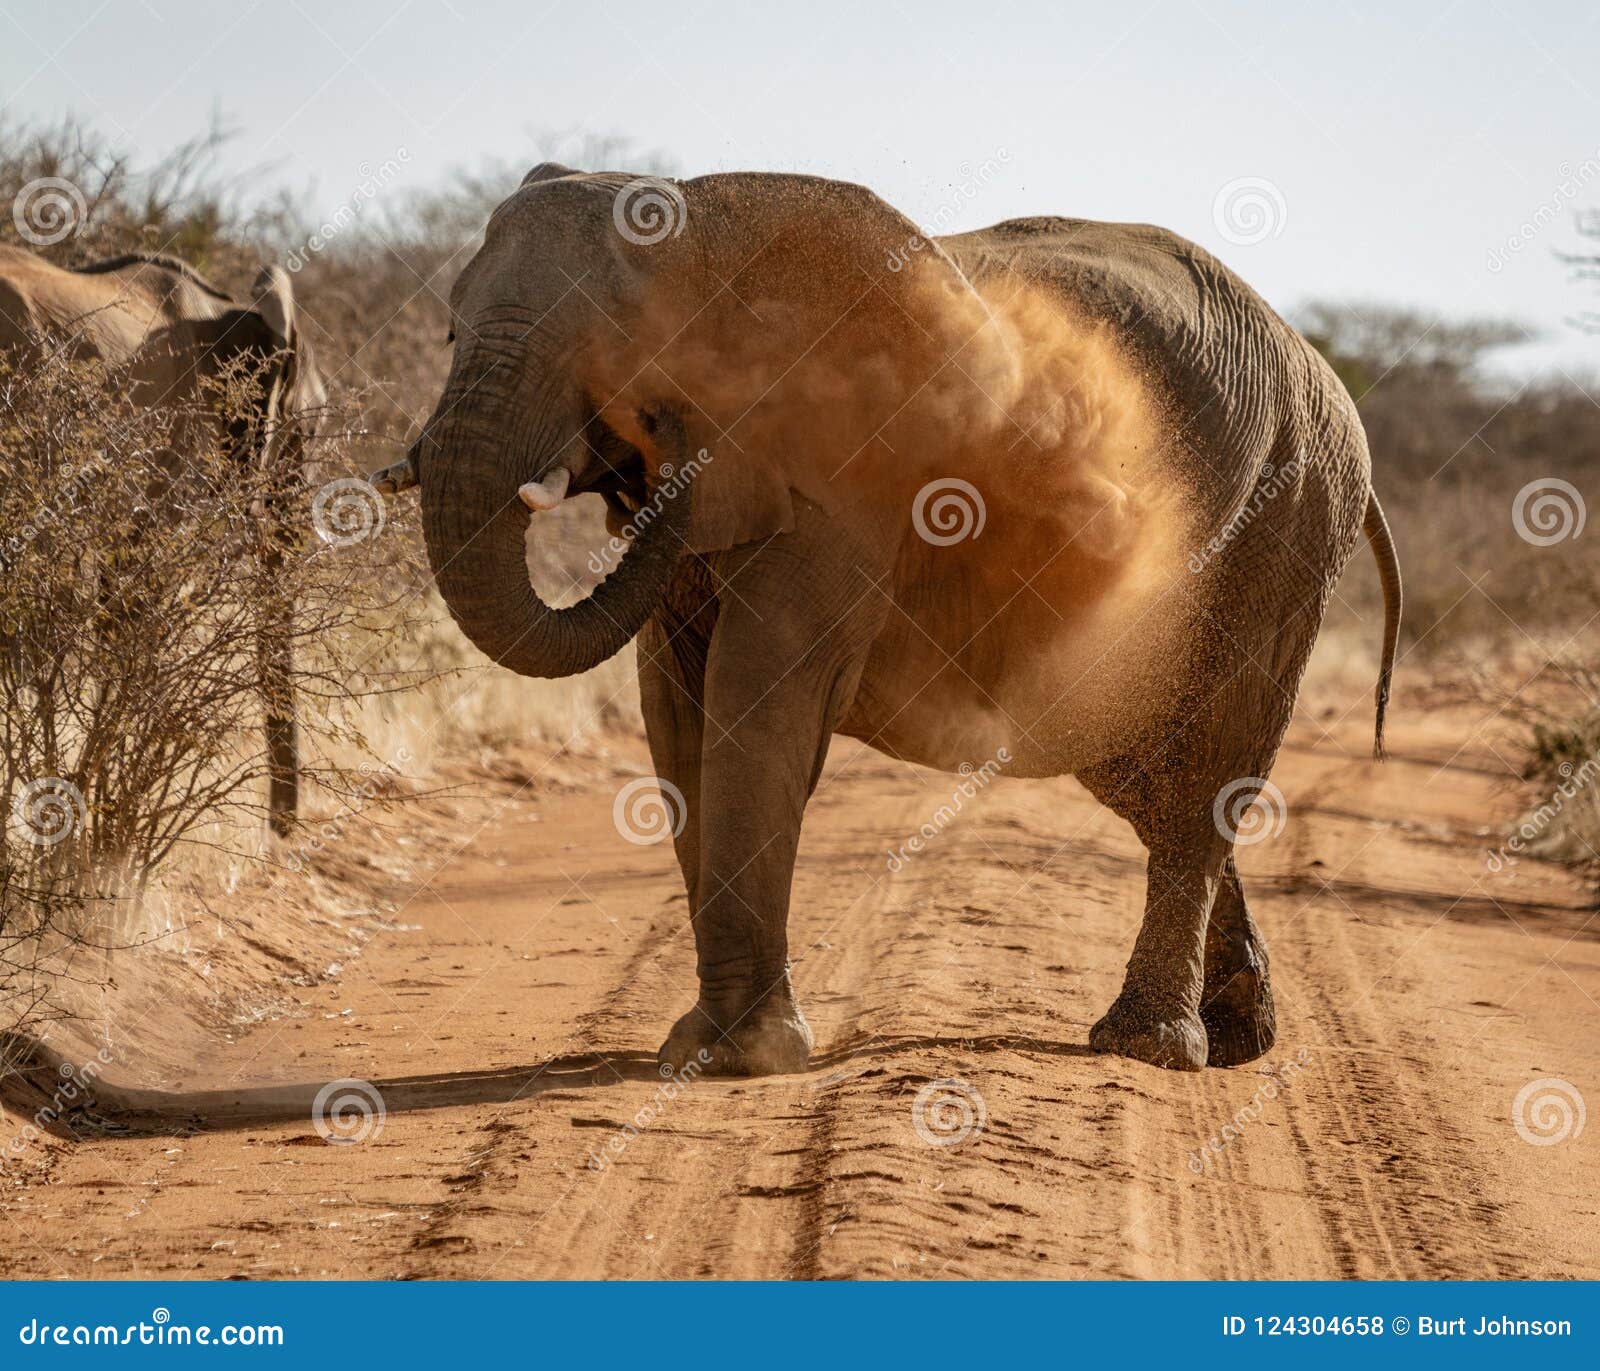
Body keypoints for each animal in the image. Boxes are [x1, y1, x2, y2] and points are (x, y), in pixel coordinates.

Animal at [397, 163, 1402, 1073]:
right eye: (446, 330)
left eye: (612, 347)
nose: (654, 432)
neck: (710, 217)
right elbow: (675, 708)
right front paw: (704, 1046)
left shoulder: (850, 485)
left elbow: (757, 693)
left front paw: (741, 1056)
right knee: (1141, 771)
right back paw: (1238, 1038)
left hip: (1287, 522)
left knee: (1203, 770)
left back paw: (1149, 1047)